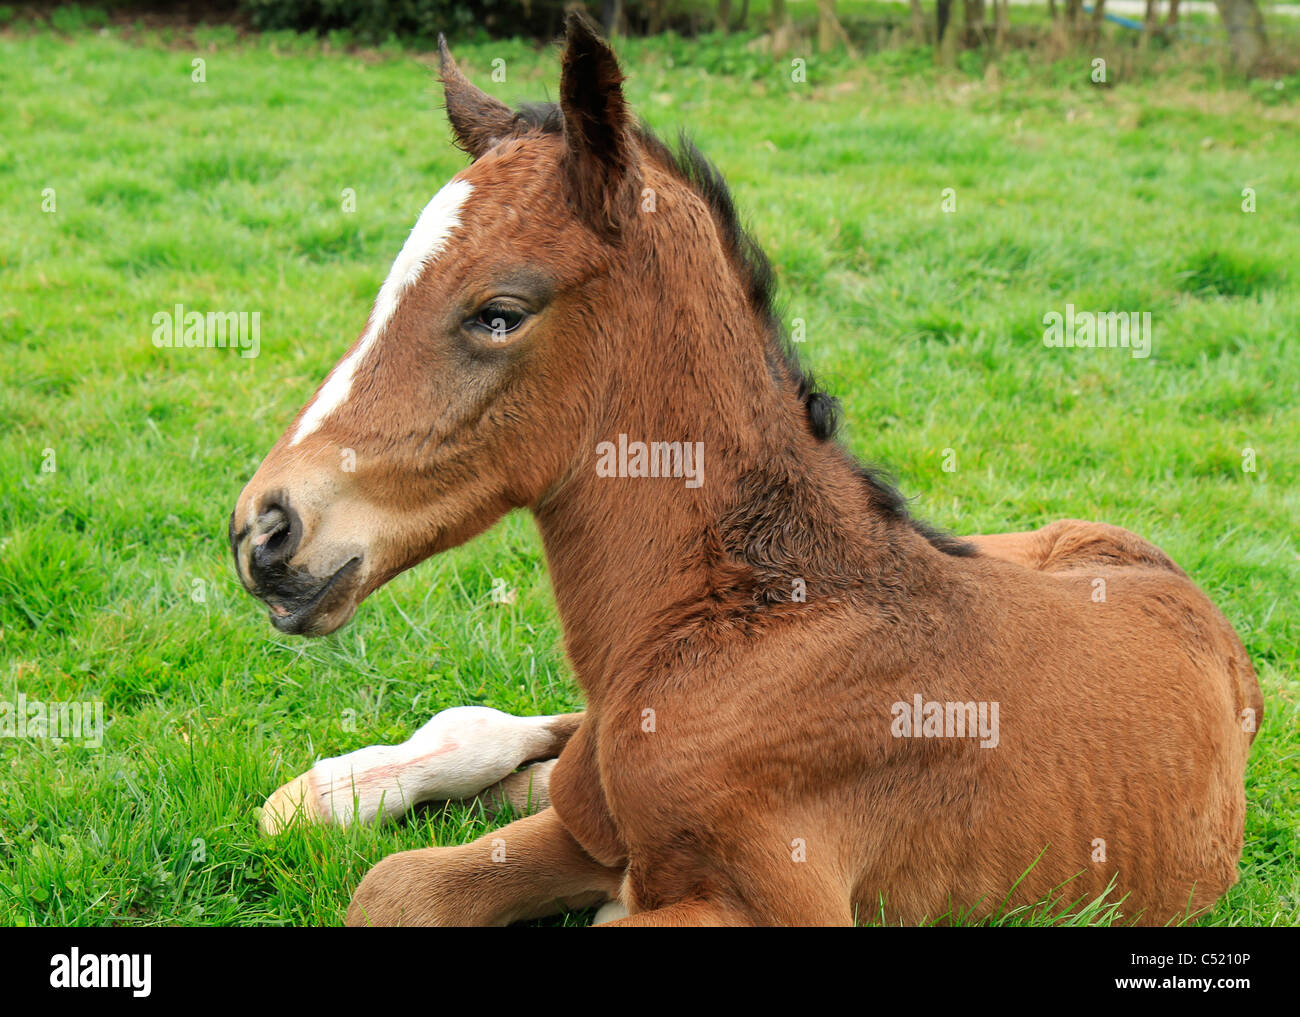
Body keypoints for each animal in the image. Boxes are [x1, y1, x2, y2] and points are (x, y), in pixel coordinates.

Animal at [230, 12, 1262, 926]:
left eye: (499, 312)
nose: (263, 531)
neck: (752, 621)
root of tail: (1164, 567)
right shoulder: (586, 827)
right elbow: (394, 890)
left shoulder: (770, 904)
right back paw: (327, 790)